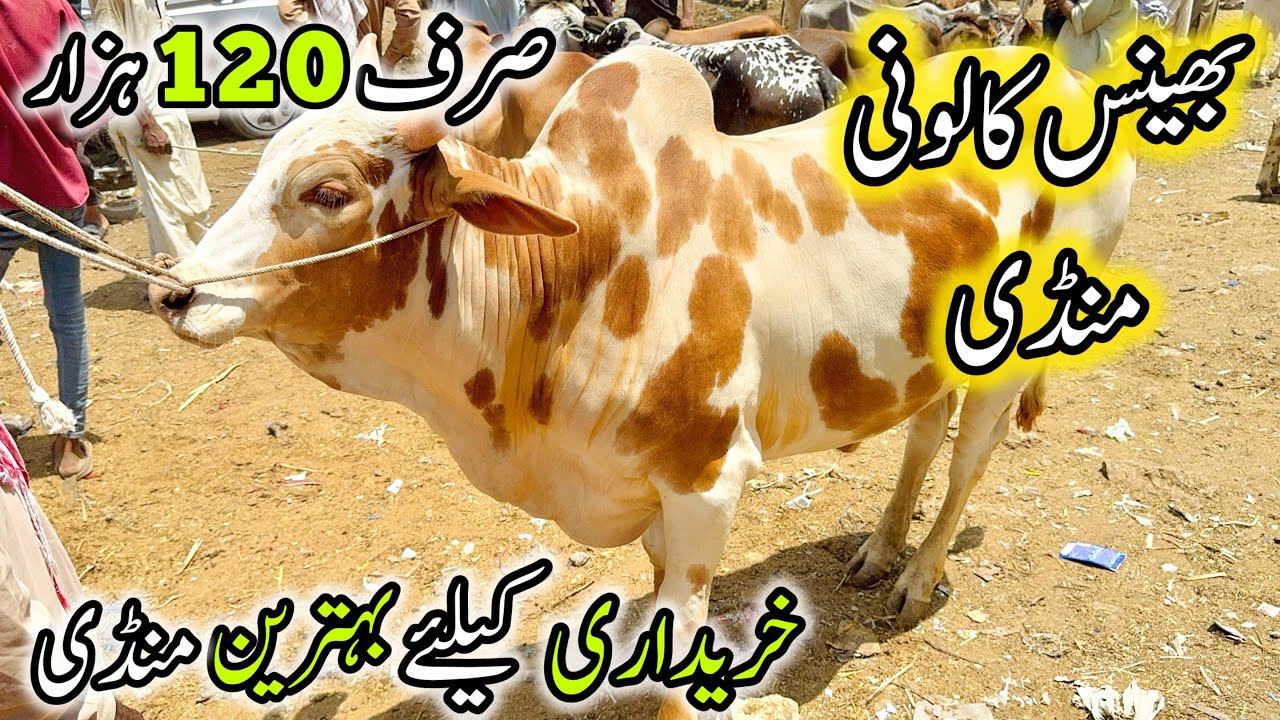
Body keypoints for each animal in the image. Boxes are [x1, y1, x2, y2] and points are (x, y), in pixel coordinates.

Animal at [149, 40, 1136, 718]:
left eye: (327, 191)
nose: (173, 292)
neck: (574, 271)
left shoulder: (706, 482)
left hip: (1017, 354)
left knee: (969, 458)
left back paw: (916, 576)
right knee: (926, 435)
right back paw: (879, 549)